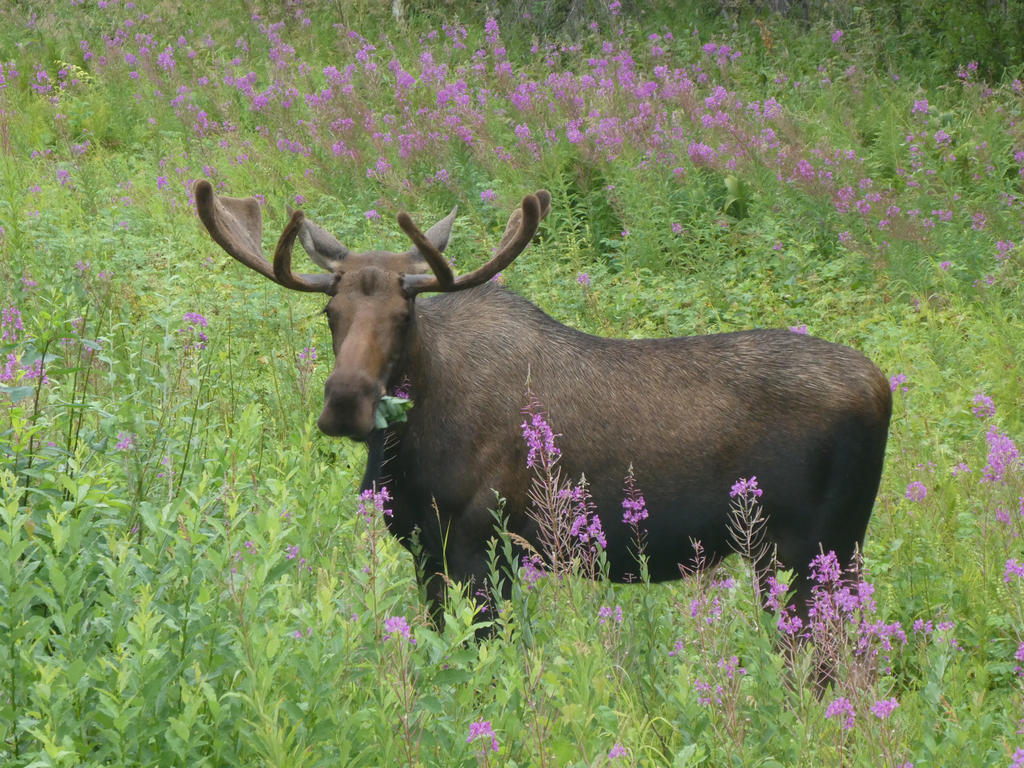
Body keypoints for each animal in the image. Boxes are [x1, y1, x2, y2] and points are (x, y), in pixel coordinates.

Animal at [194, 179, 892, 630]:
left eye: (405, 314)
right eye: (329, 311)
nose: (346, 403)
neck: (409, 452)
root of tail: (883, 389)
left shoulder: (481, 547)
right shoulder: (425, 552)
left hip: (813, 548)